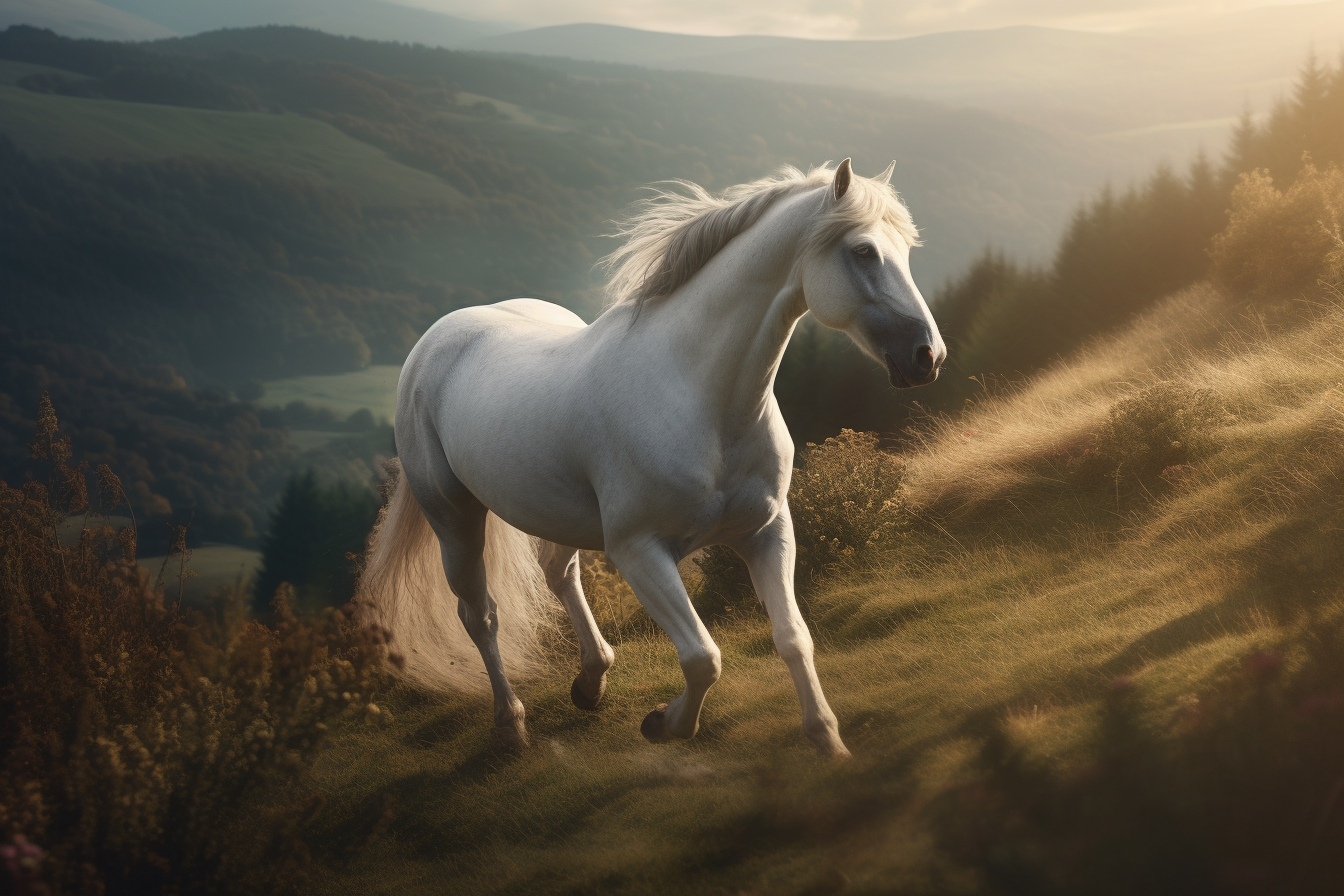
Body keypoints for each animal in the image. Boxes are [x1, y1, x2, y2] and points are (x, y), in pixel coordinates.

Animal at [358, 159, 945, 758]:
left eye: (906, 249)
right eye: (864, 252)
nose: (928, 356)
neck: (698, 399)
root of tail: (435, 341)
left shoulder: (767, 531)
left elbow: (793, 638)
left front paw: (828, 742)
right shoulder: (639, 551)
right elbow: (703, 658)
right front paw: (664, 724)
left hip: (556, 514)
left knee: (558, 573)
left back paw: (591, 681)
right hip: (454, 517)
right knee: (481, 616)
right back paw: (511, 724)